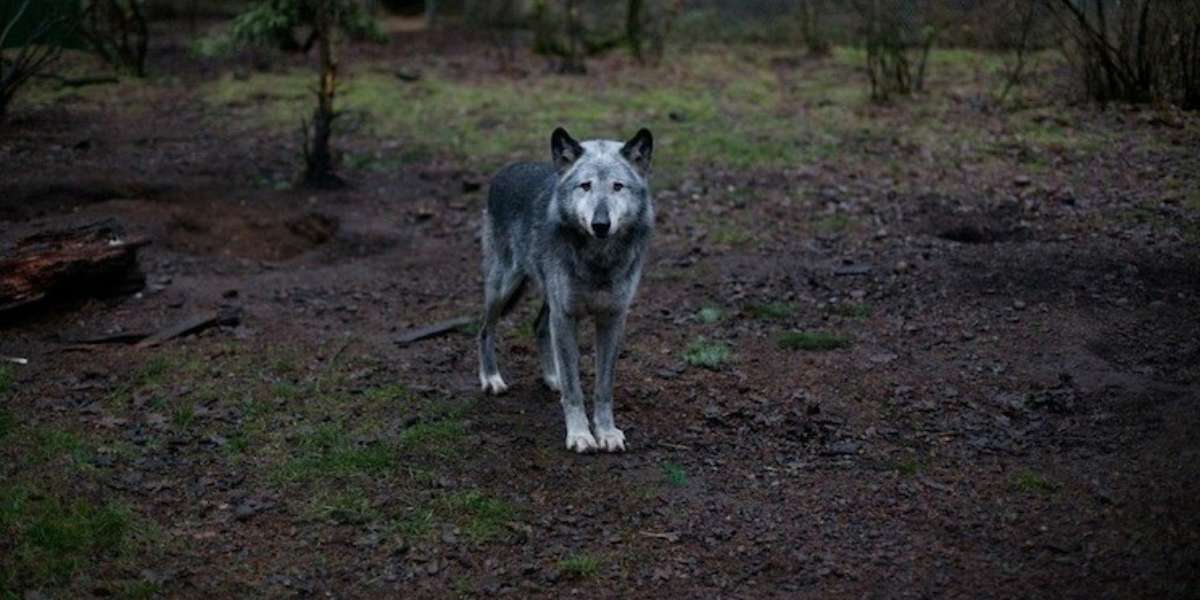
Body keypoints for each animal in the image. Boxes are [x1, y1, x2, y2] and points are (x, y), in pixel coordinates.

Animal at [477, 126, 654, 453]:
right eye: (585, 186)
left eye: (617, 187)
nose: (600, 224)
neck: (599, 259)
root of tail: (508, 169)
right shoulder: (566, 316)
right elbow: (574, 390)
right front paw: (580, 435)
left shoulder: (612, 319)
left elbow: (603, 388)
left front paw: (606, 432)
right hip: (503, 287)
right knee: (484, 329)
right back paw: (492, 379)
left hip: (547, 299)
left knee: (538, 326)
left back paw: (552, 377)